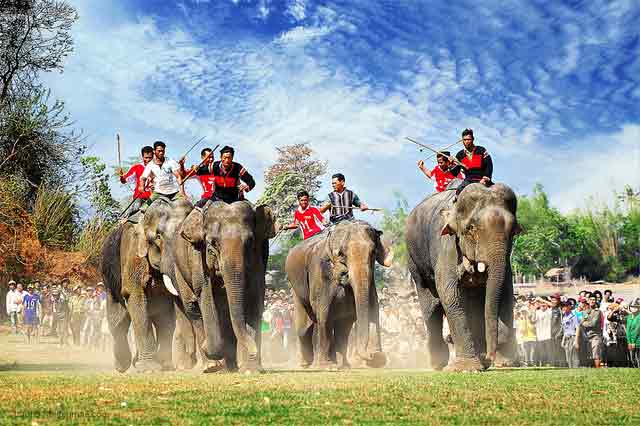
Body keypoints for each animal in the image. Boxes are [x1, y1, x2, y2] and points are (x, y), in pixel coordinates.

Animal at [100, 198, 192, 372]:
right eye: (158, 237)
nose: (189, 362)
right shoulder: (133, 252)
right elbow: (135, 297)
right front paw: (149, 368)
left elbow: (166, 315)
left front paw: (164, 365)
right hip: (108, 278)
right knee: (118, 320)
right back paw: (122, 365)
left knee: (161, 317)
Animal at [171, 201, 276, 372]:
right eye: (212, 245)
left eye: (250, 241)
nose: (253, 350)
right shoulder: (197, 255)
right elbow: (204, 294)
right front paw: (210, 350)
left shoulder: (259, 255)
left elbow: (255, 296)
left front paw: (251, 369)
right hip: (178, 269)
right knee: (193, 307)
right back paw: (211, 366)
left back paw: (230, 367)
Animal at [284, 221, 390, 368]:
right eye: (341, 254)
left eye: (373, 252)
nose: (372, 355)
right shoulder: (321, 276)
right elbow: (325, 313)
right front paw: (327, 367)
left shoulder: (370, 281)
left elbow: (355, 315)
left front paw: (345, 366)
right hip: (296, 288)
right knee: (304, 328)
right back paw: (306, 364)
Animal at [408, 181, 524, 372]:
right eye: (470, 228)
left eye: (514, 231)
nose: (489, 358)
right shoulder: (447, 247)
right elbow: (451, 294)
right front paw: (466, 368)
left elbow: (506, 293)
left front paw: (505, 362)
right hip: (415, 264)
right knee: (431, 308)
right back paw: (438, 363)